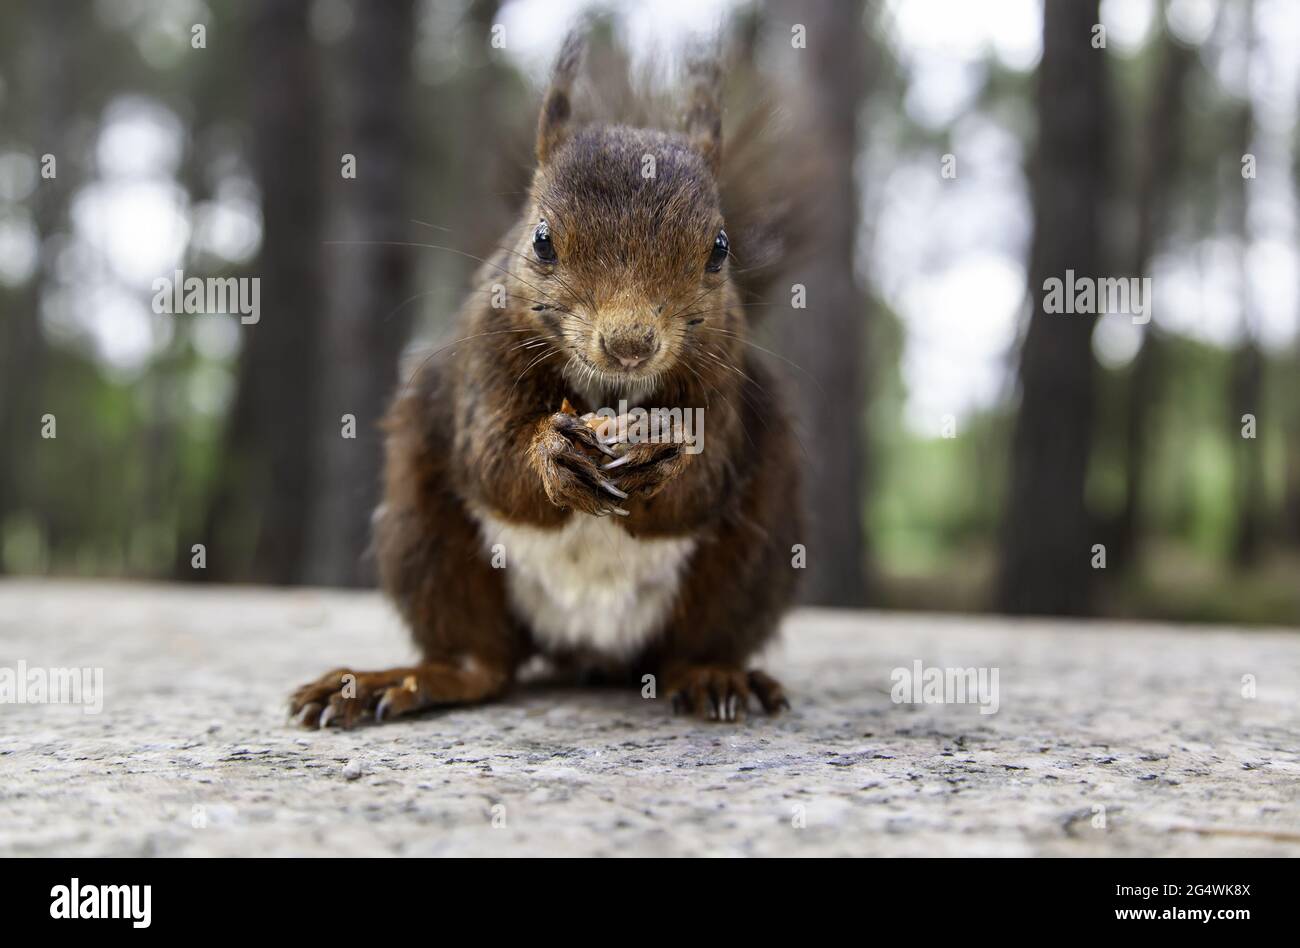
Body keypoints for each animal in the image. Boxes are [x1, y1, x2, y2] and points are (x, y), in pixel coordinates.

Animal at [290, 30, 804, 726]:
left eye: (719, 250)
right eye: (541, 239)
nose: (630, 345)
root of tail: (585, 647)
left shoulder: (722, 382)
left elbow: (704, 480)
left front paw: (662, 450)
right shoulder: (483, 362)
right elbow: (492, 461)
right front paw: (552, 453)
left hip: (751, 559)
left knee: (692, 643)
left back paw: (713, 674)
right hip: (425, 535)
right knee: (481, 661)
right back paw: (400, 680)